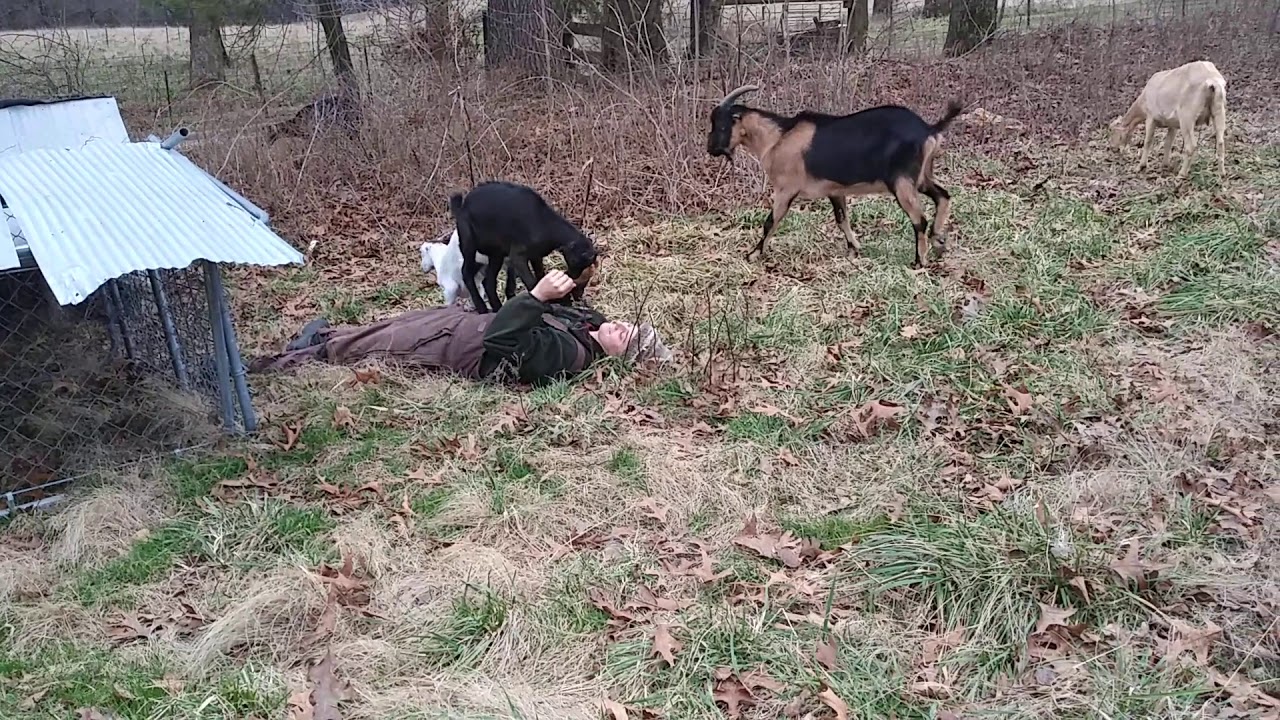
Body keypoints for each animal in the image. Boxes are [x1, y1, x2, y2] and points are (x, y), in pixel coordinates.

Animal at [448, 181, 599, 314]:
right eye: (575, 261)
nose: (574, 276)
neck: (545, 223)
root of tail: (462, 207)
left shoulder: (536, 256)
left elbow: (540, 275)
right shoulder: (518, 258)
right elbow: (532, 282)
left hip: (496, 254)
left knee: (488, 282)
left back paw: (497, 308)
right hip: (469, 244)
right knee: (466, 273)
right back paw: (481, 307)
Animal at [707, 85, 964, 269]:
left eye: (721, 126)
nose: (711, 149)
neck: (778, 137)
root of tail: (929, 129)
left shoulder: (786, 189)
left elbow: (771, 221)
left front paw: (753, 254)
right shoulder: (834, 190)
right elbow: (842, 219)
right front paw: (854, 248)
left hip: (902, 182)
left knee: (919, 219)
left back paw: (919, 261)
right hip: (921, 177)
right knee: (942, 196)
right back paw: (938, 241)